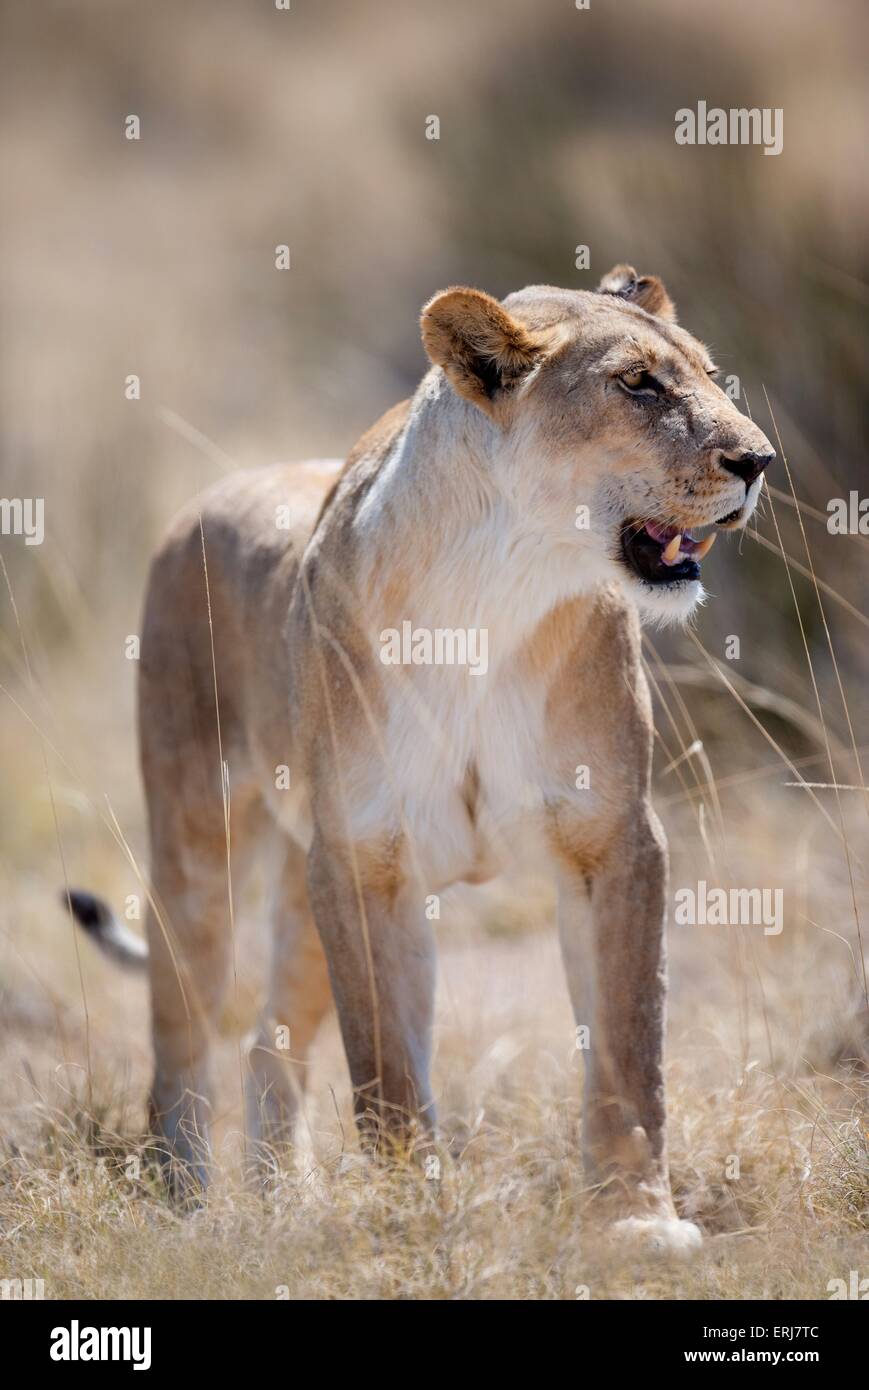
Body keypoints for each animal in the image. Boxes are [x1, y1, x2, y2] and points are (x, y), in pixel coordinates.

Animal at [65, 265, 774, 1251]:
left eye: (709, 373)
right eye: (637, 384)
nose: (759, 462)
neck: (495, 588)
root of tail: (206, 501)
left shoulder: (613, 841)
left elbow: (630, 1050)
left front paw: (636, 1219)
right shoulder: (366, 860)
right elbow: (387, 1074)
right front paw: (412, 1217)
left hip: (303, 882)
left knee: (268, 1041)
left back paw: (285, 1196)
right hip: (202, 843)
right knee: (182, 1021)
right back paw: (187, 1197)